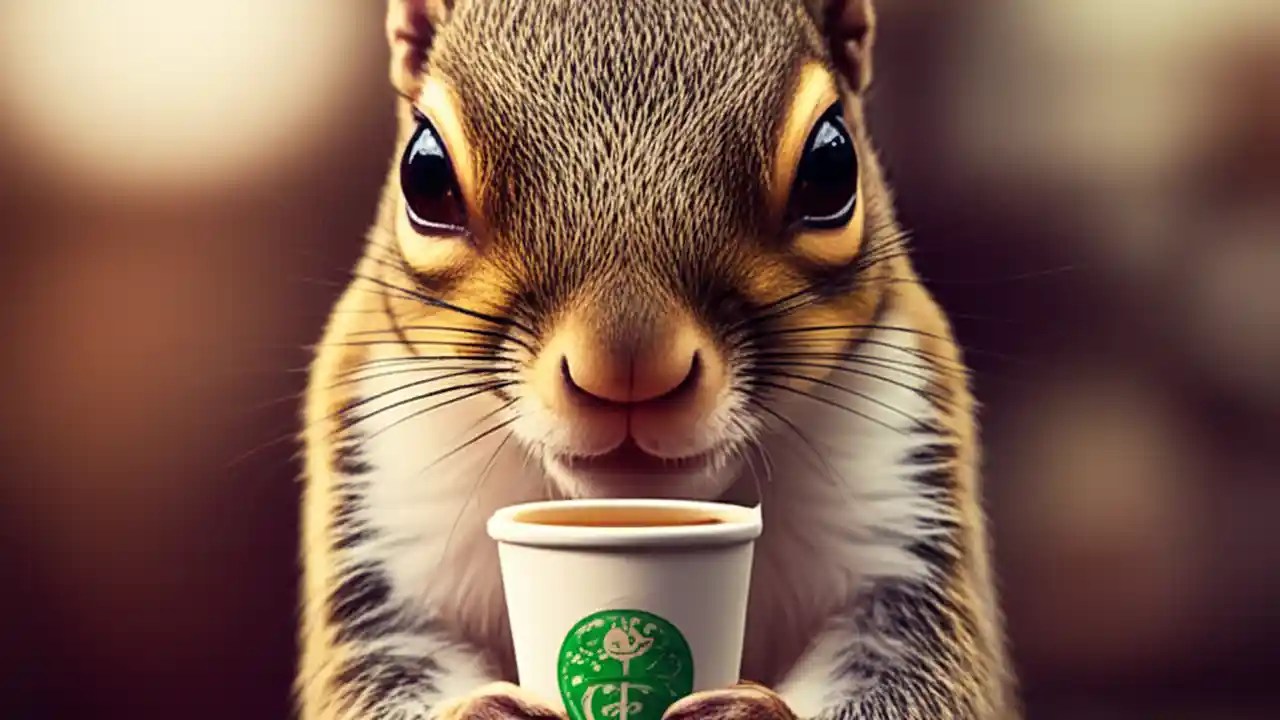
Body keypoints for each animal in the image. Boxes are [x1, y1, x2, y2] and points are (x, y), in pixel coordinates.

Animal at [299, 1, 1018, 719]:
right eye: (424, 175)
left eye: (831, 165)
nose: (627, 371)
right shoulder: (389, 550)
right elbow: (375, 677)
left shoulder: (897, 542)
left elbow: (919, 681)